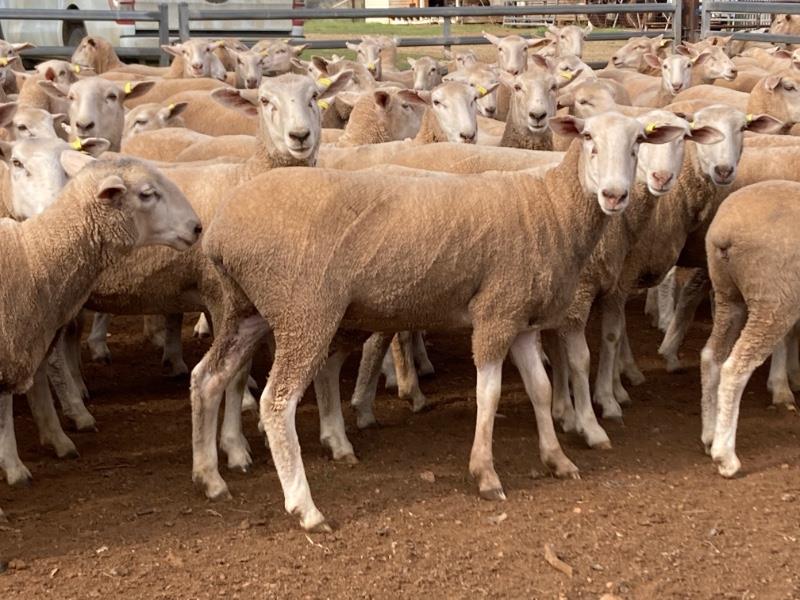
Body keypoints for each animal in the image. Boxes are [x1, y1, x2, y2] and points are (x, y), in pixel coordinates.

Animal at [0, 152, 202, 500]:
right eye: (147, 194)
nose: (197, 227)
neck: (32, 257)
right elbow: (3, 416)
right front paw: (15, 469)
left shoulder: (31, 338)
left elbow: (36, 392)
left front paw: (56, 441)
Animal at [189, 111, 684, 531]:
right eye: (588, 139)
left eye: (638, 143)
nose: (616, 196)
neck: (549, 206)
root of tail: (221, 231)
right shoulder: (495, 313)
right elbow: (489, 393)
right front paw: (486, 474)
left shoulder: (521, 317)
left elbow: (541, 390)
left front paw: (557, 459)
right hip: (305, 311)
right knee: (276, 402)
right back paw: (306, 507)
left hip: (246, 308)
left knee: (207, 378)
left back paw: (210, 477)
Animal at [700, 181, 800, 478]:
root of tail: (724, 231)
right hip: (773, 297)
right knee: (735, 368)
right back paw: (725, 458)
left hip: (728, 295)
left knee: (711, 357)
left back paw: (709, 436)